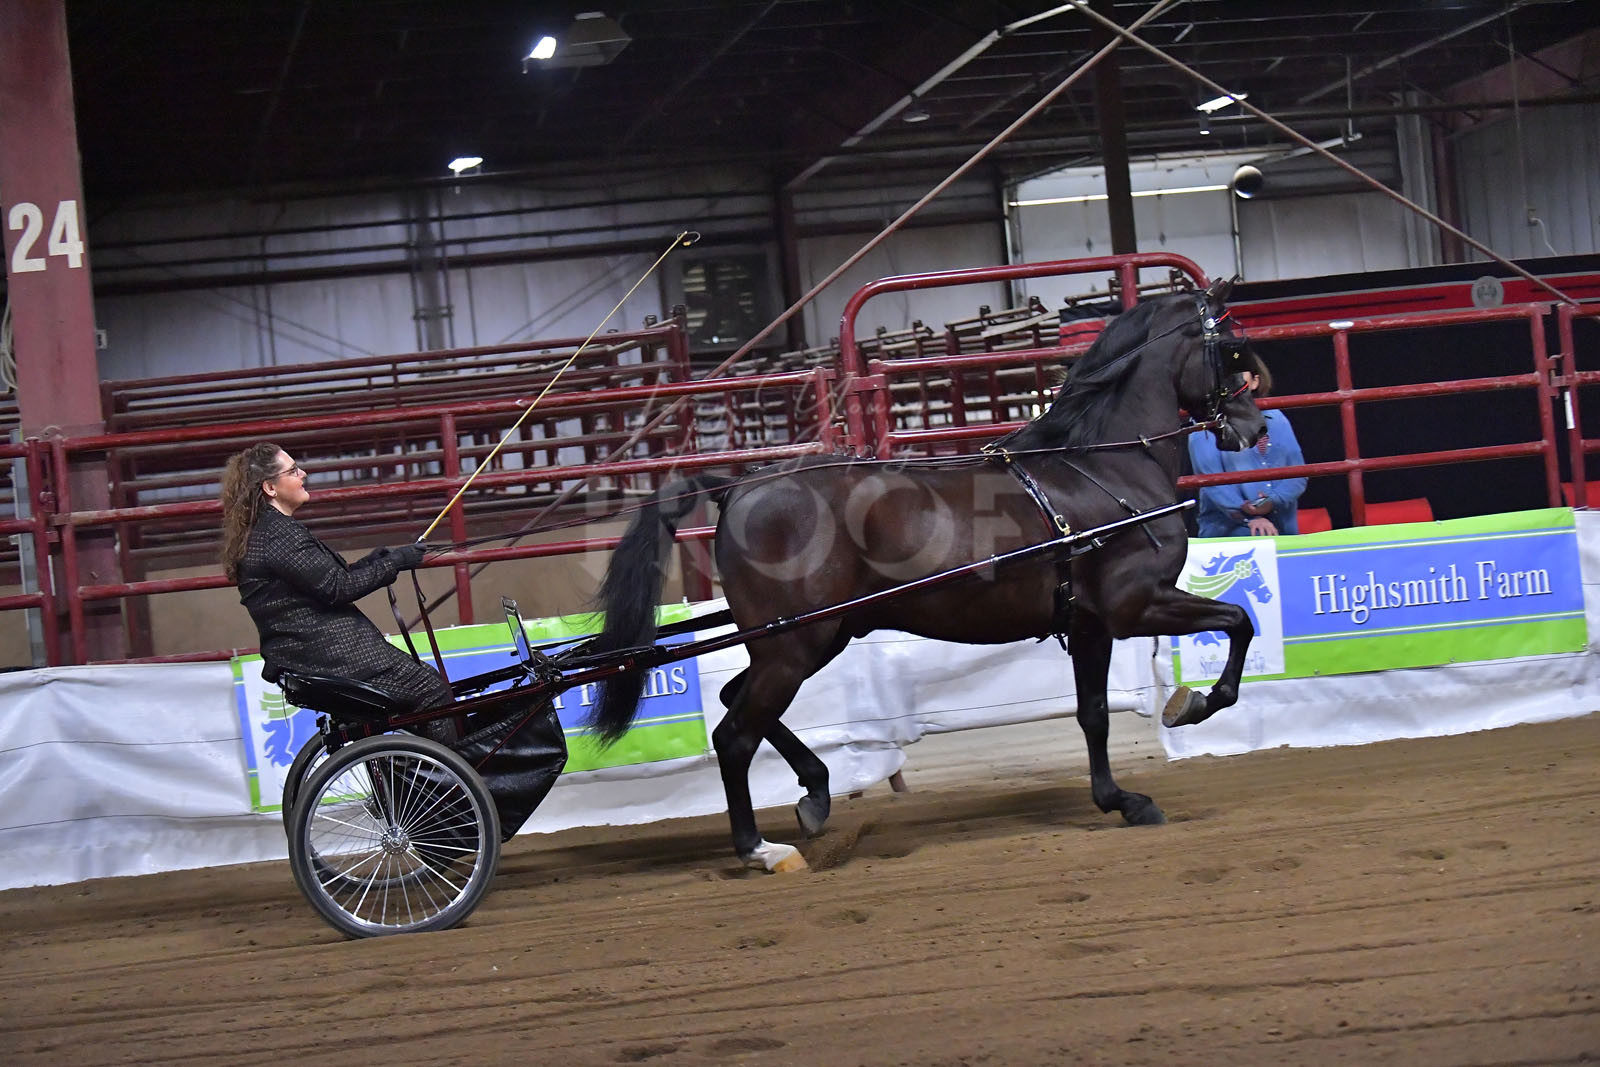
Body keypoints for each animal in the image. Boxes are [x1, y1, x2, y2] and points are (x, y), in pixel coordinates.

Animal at [588, 280, 1268, 872]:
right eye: (1233, 348)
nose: (1256, 427)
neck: (1103, 469)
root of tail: (738, 491)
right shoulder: (1137, 605)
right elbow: (1239, 621)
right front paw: (1196, 705)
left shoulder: (1092, 625)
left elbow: (1094, 713)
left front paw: (1121, 800)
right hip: (794, 645)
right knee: (734, 735)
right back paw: (760, 848)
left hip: (807, 639)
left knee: (738, 703)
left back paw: (815, 793)